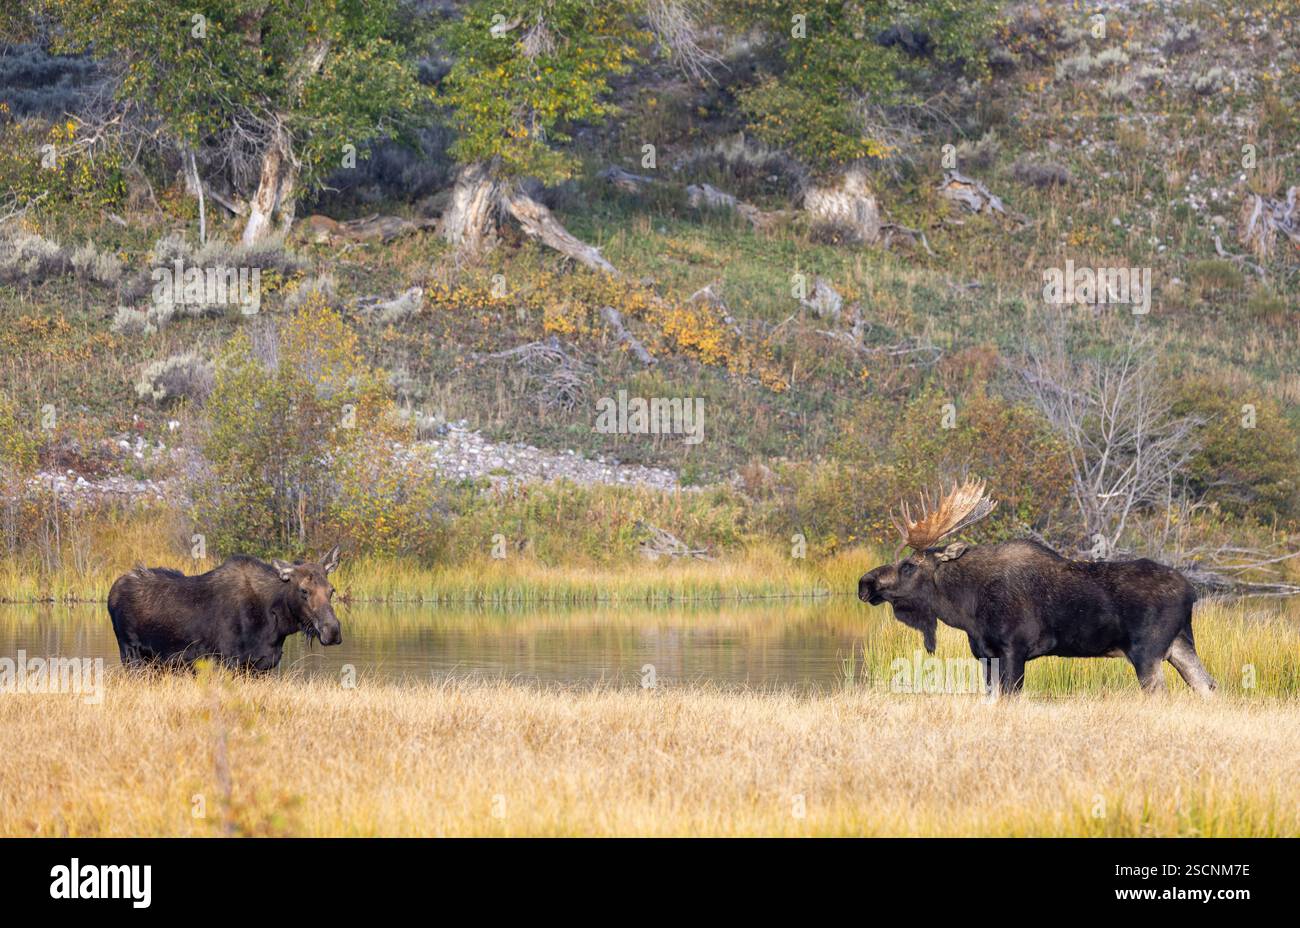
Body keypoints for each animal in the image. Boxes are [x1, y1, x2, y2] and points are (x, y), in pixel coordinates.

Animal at [107, 548, 343, 671]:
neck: (276, 624)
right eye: (304, 590)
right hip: (130, 653)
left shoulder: (262, 665)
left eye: (332, 590)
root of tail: (111, 594)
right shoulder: (229, 662)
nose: (332, 631)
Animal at [857, 478, 1216, 696]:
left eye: (909, 565)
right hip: (1179, 644)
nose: (865, 583)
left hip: (1147, 651)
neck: (966, 609)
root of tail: (1192, 592)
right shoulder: (986, 655)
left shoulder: (1015, 649)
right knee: (1207, 685)